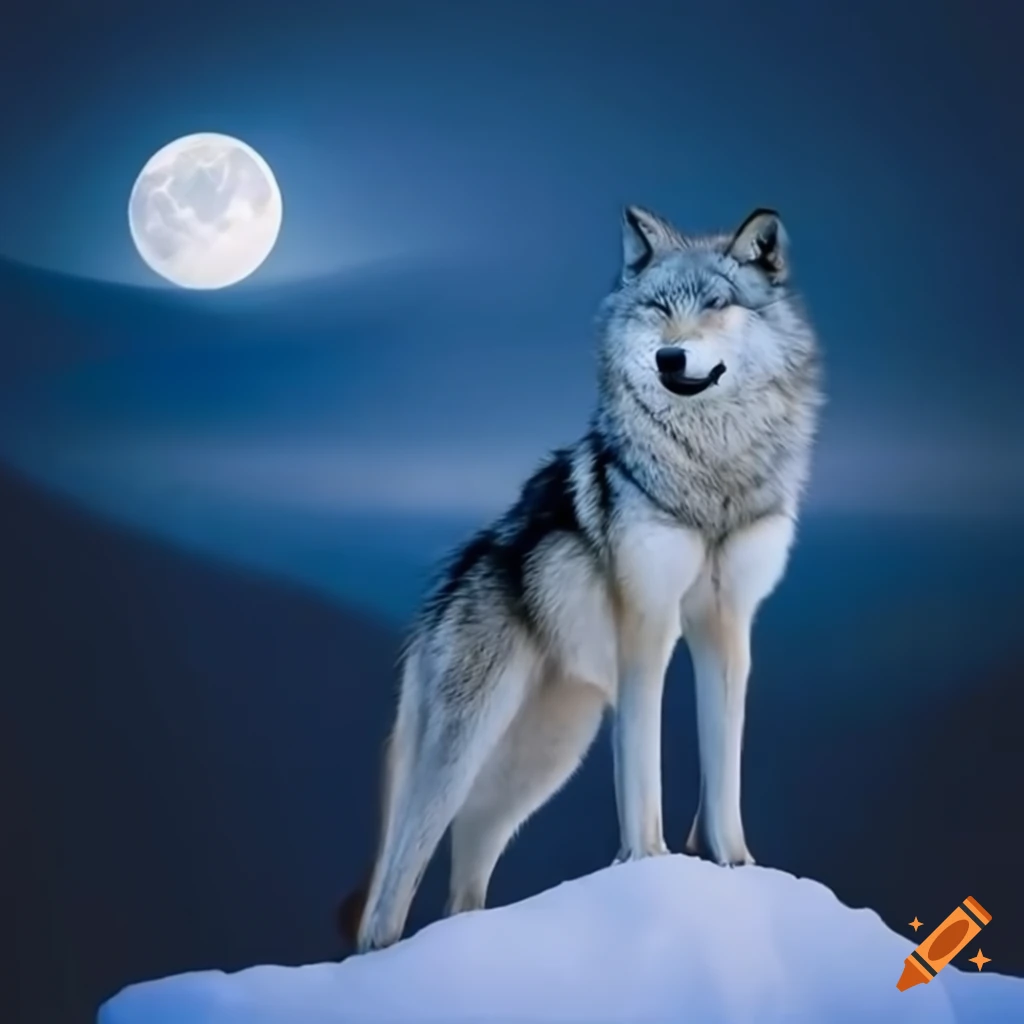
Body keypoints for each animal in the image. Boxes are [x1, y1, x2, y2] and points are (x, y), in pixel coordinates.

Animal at [349, 205, 823, 953]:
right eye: (658, 307)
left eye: (717, 305)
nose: (668, 358)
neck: (709, 475)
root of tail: (446, 586)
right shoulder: (648, 625)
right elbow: (643, 765)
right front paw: (649, 860)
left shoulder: (727, 625)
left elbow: (724, 771)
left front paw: (736, 866)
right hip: (462, 755)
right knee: (392, 890)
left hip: (534, 767)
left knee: (462, 891)